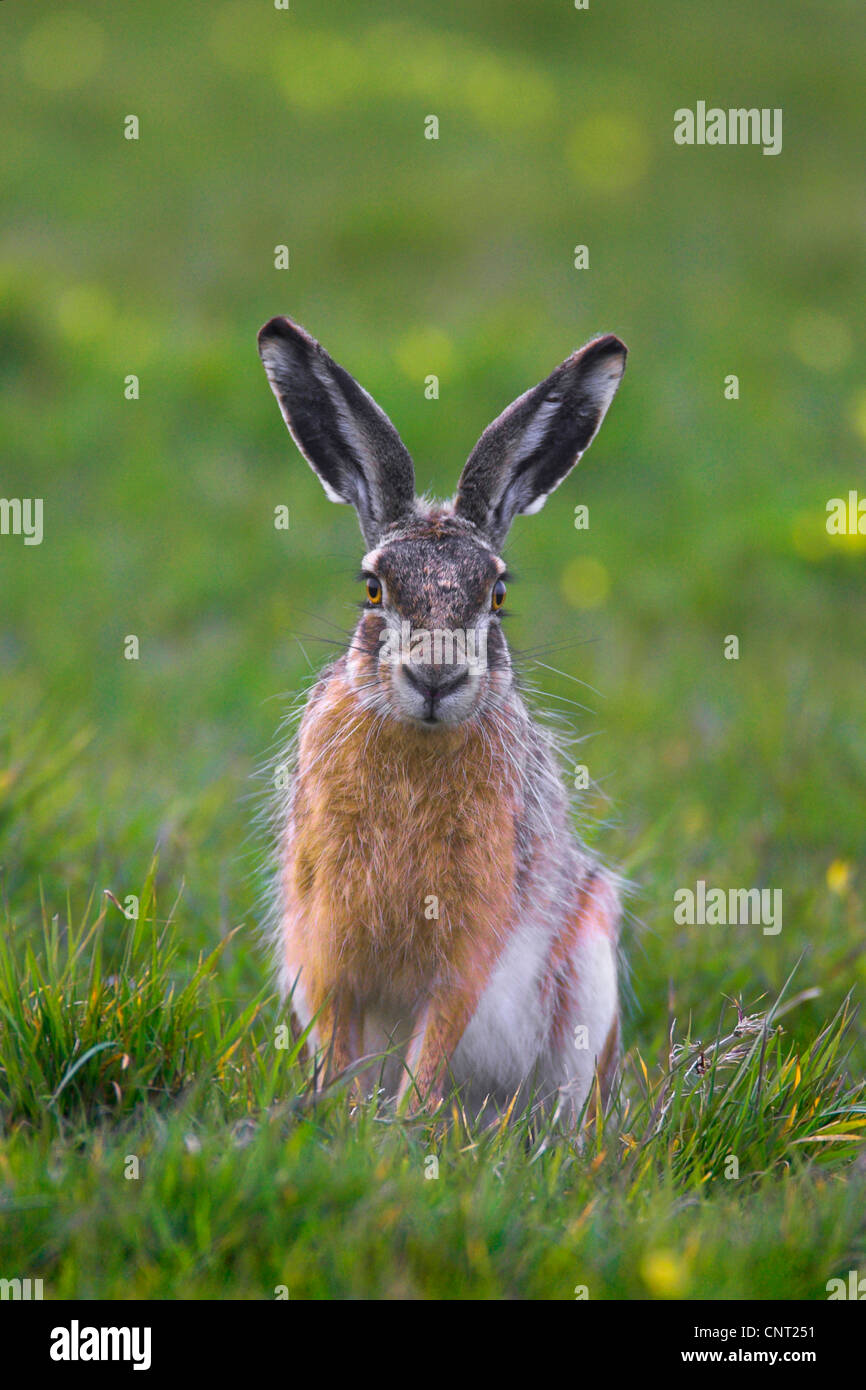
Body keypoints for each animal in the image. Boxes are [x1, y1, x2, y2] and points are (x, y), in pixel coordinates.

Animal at [258, 314, 627, 1121]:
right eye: (373, 589)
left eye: (496, 596)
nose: (435, 676)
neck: (416, 741)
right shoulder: (327, 947)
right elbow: (340, 1042)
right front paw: (342, 1119)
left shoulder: (467, 952)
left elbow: (435, 1042)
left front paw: (401, 1128)